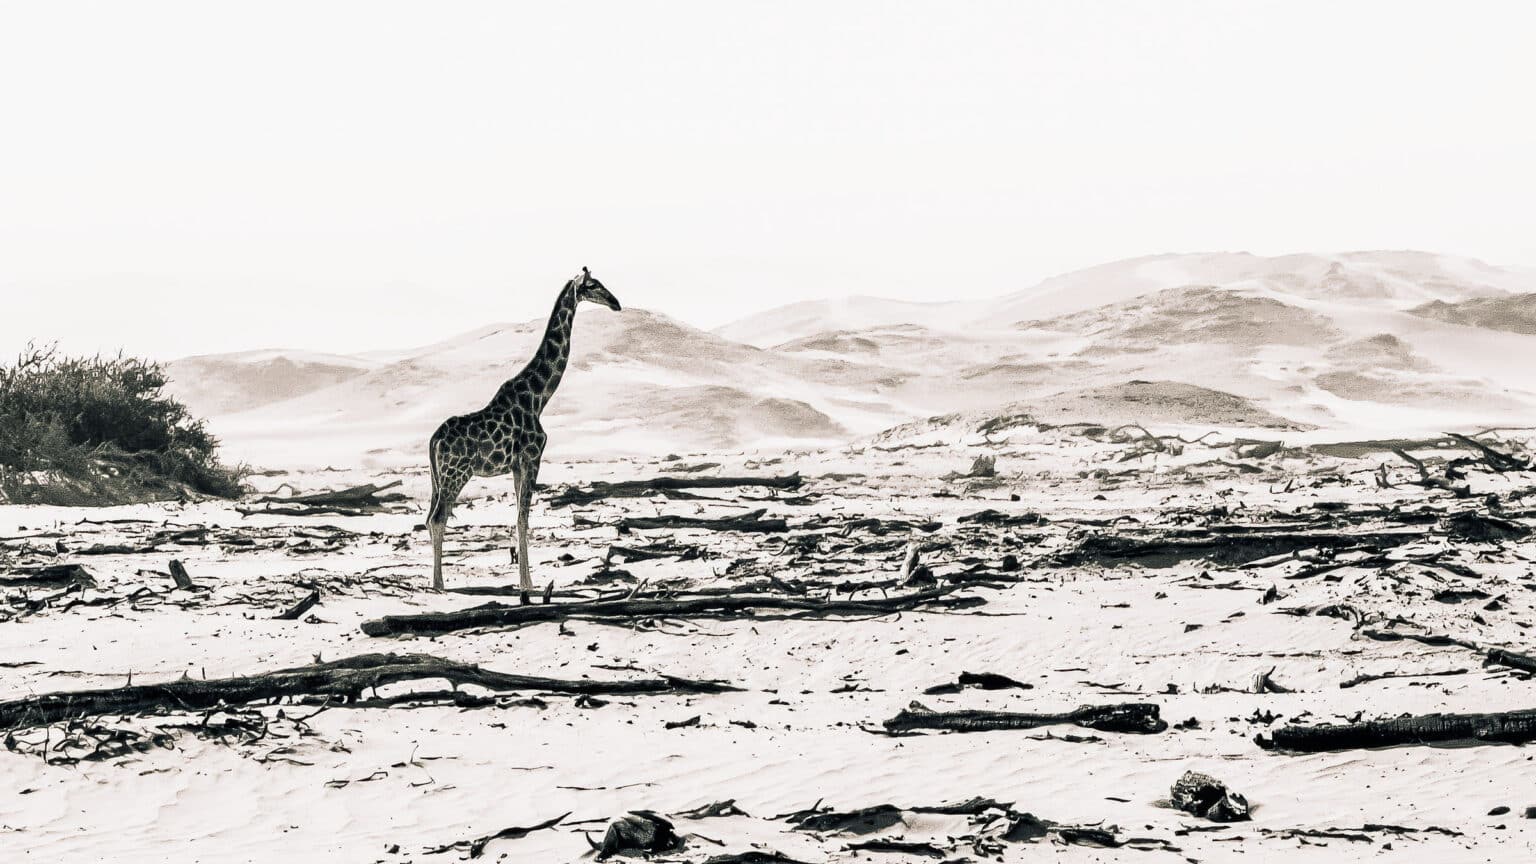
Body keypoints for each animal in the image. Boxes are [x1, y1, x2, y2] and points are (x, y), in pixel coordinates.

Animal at [425, 267, 621, 591]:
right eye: (593, 285)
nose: (616, 303)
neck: (539, 397)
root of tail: (433, 441)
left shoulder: (517, 465)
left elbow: (519, 518)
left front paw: (525, 581)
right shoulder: (532, 458)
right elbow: (523, 518)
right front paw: (528, 584)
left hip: (436, 479)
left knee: (429, 517)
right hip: (457, 474)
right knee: (438, 518)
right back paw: (439, 584)